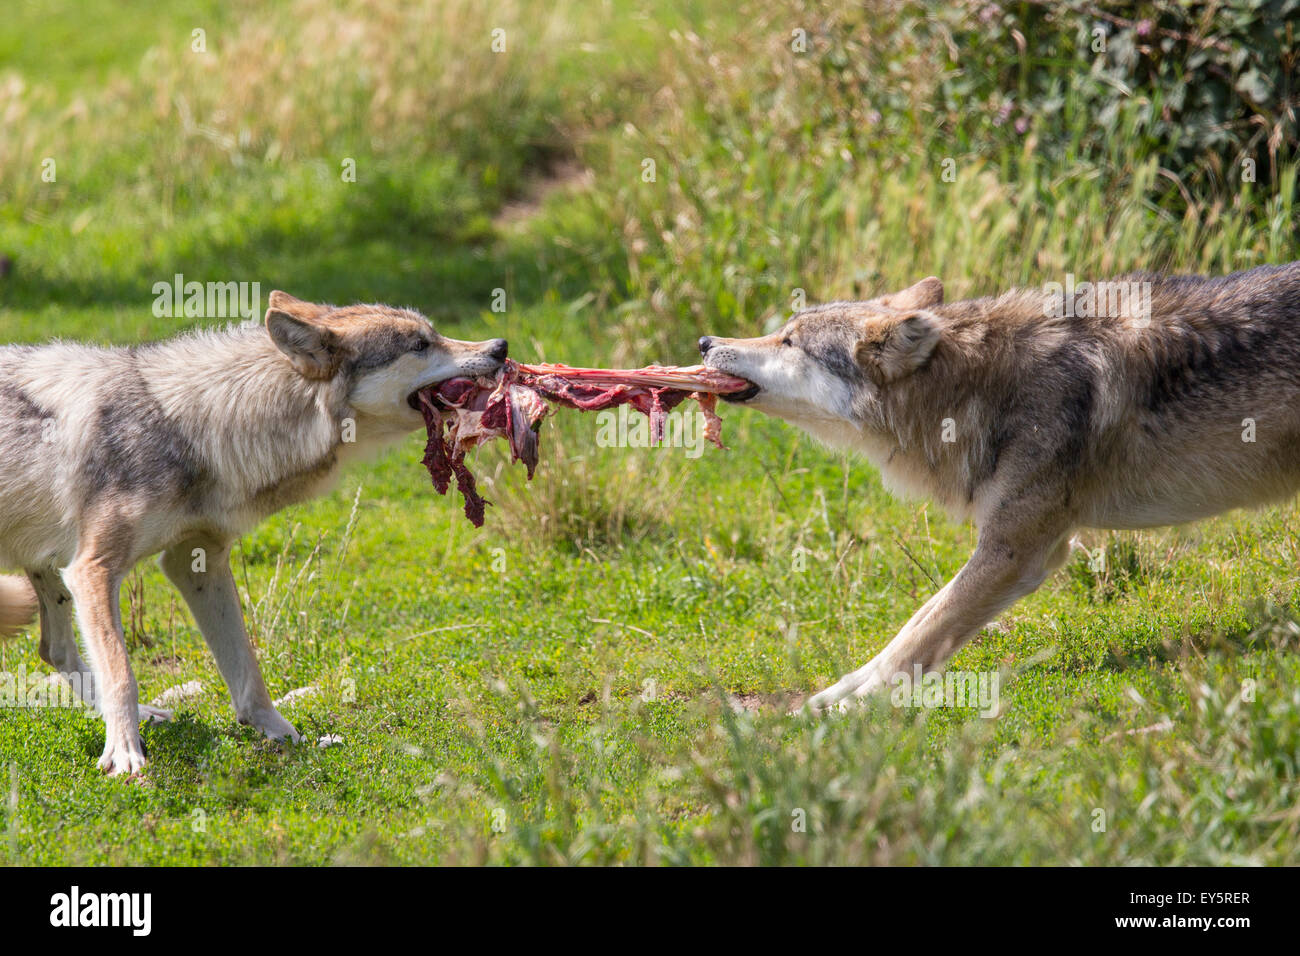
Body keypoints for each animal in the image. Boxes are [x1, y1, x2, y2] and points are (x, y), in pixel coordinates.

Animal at [0, 292, 507, 774]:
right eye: (420, 345)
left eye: (435, 334)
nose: (500, 347)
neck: (191, 423)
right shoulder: (94, 569)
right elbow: (123, 671)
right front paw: (124, 755)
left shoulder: (195, 562)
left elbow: (248, 670)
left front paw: (285, 735)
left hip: (49, 574)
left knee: (54, 651)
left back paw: (147, 715)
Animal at [700, 261, 1300, 712]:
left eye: (789, 341)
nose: (705, 340)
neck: (976, 388)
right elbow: (914, 623)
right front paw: (839, 692)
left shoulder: (1016, 551)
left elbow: (922, 632)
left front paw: (849, 707)